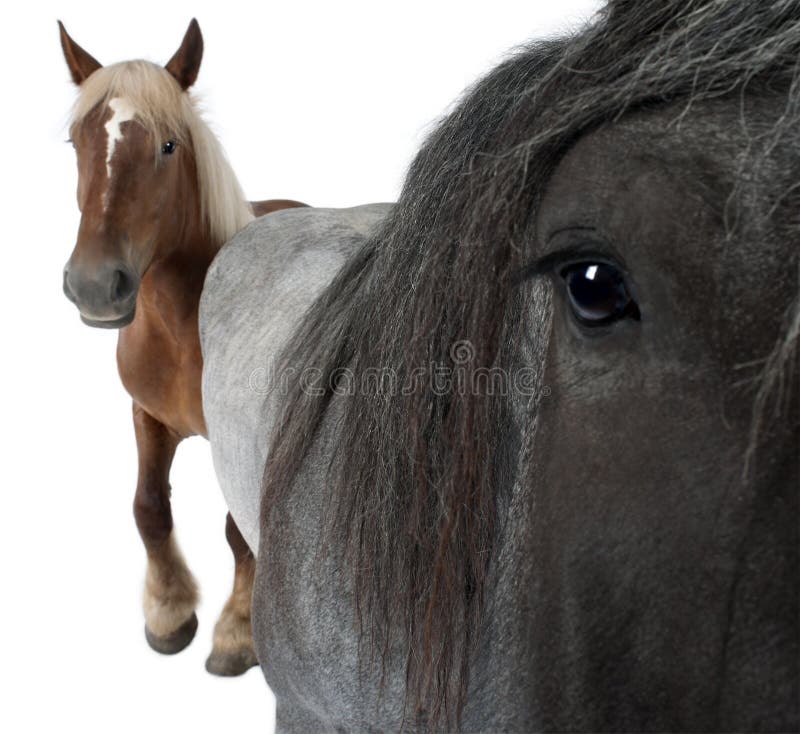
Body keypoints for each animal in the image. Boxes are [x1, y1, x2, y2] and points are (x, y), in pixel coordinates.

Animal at [59, 18, 305, 676]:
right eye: (74, 143)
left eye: (168, 146)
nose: (94, 284)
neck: (182, 325)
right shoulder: (147, 415)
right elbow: (148, 508)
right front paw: (169, 611)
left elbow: (238, 532)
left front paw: (238, 630)